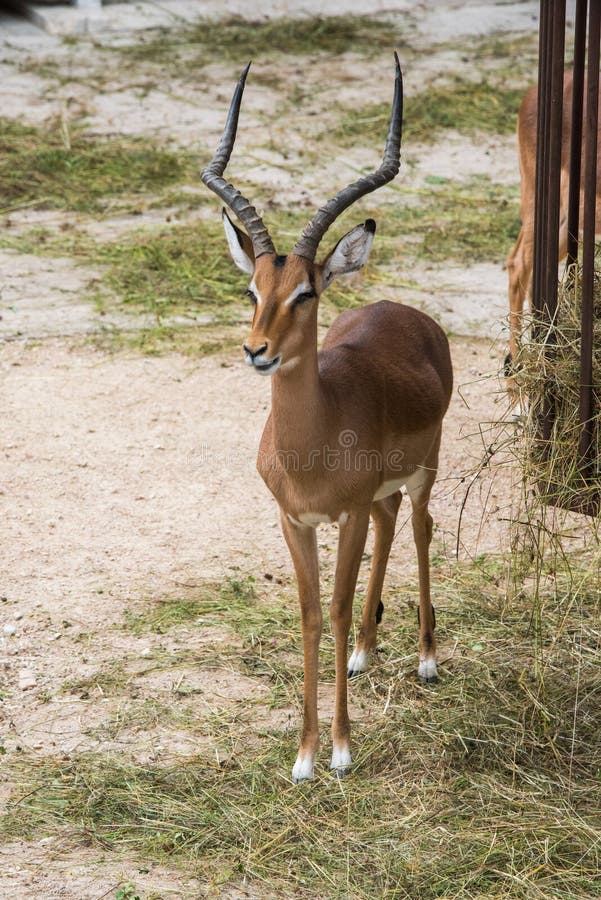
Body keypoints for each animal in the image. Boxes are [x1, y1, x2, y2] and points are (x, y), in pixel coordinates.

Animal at [201, 56, 453, 782]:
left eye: (306, 292)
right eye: (252, 289)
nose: (257, 350)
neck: (309, 446)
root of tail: (404, 311)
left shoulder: (342, 515)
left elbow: (336, 610)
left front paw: (340, 750)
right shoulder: (296, 520)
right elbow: (312, 615)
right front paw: (304, 755)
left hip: (425, 470)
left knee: (420, 527)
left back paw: (426, 659)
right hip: (379, 496)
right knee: (391, 525)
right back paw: (366, 653)